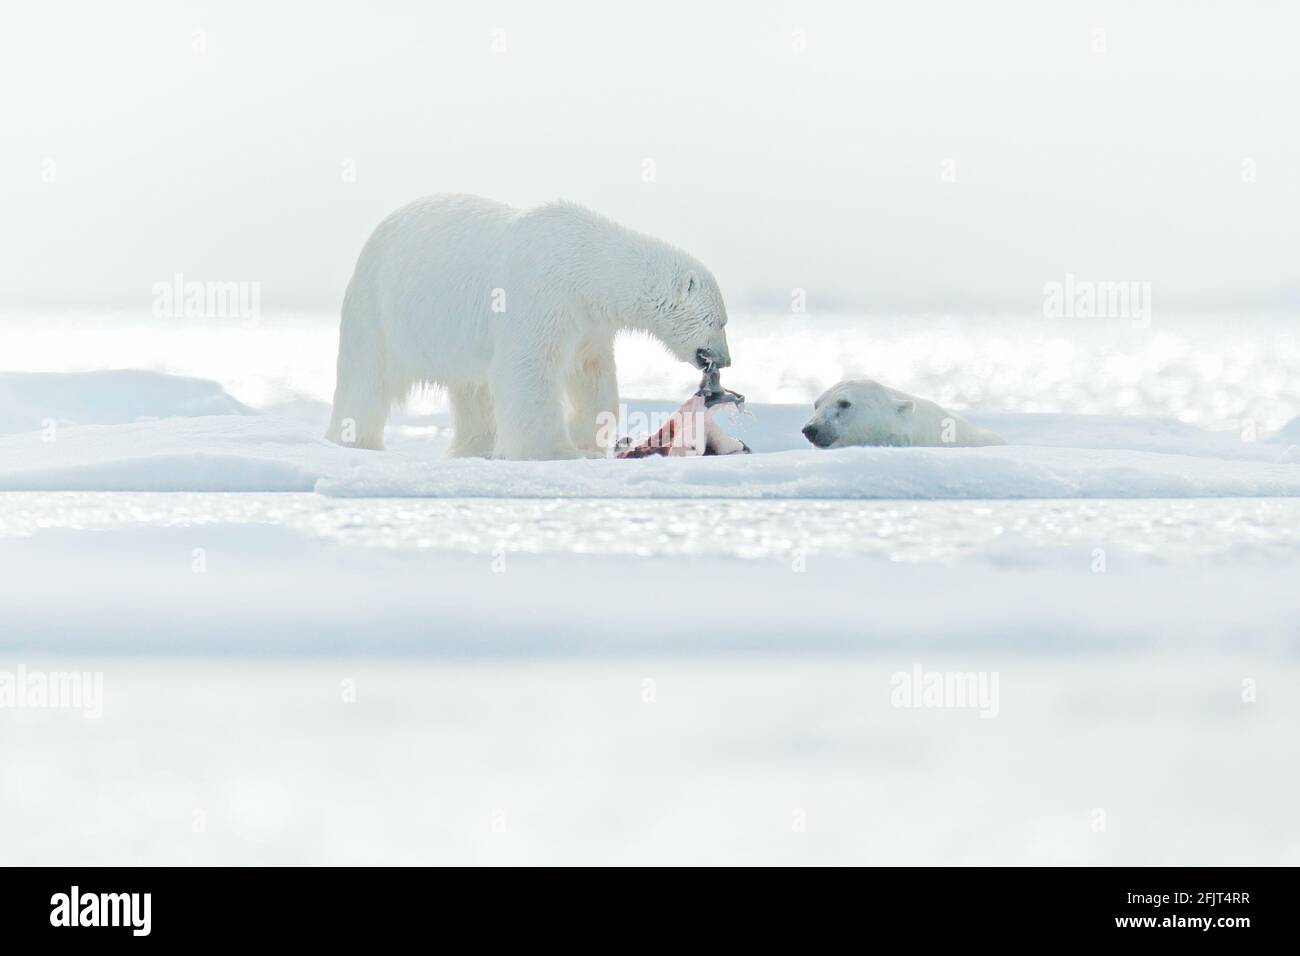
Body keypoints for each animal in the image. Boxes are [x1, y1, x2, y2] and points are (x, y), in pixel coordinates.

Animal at [325, 194, 733, 460]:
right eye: (720, 321)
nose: (725, 360)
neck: (587, 266)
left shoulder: (586, 321)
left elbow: (591, 374)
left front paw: (587, 442)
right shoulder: (541, 296)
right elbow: (528, 370)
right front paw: (555, 451)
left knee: (471, 388)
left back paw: (475, 447)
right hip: (379, 308)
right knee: (365, 378)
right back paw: (354, 440)